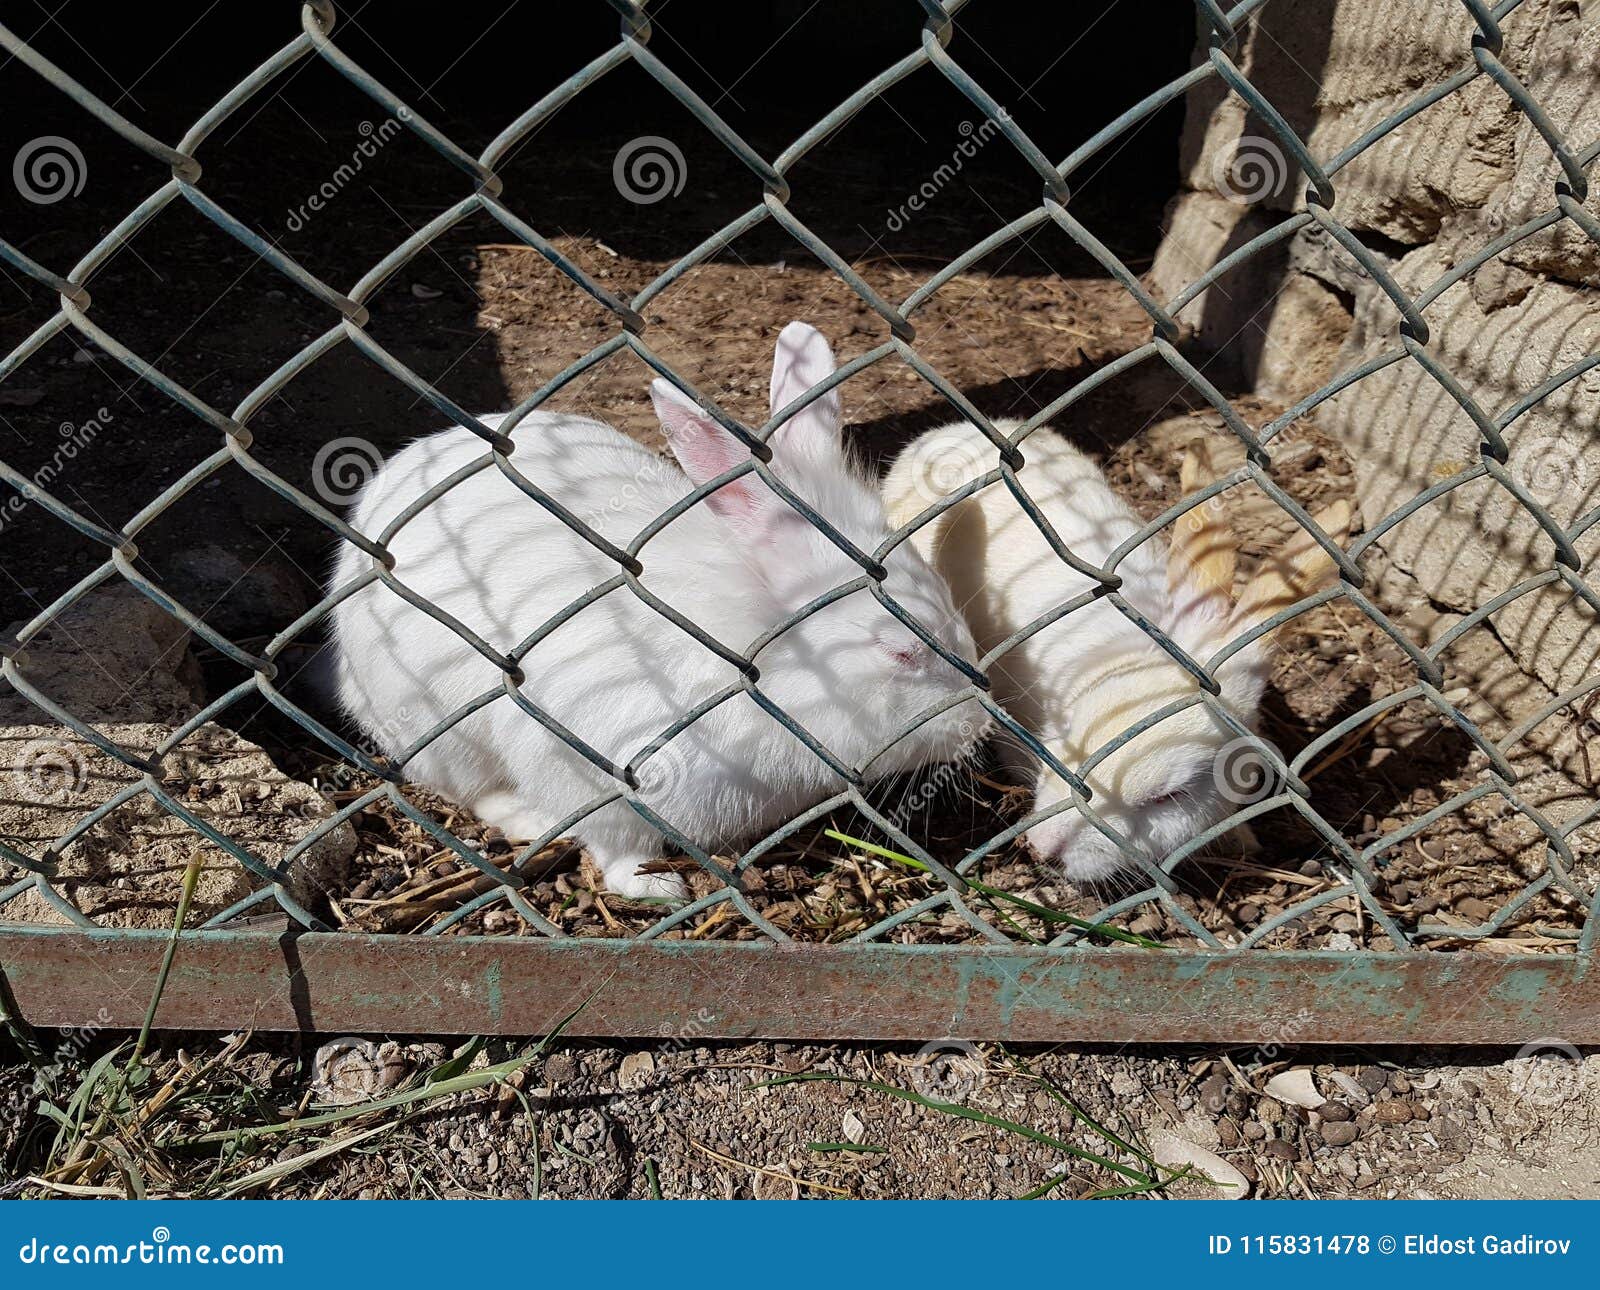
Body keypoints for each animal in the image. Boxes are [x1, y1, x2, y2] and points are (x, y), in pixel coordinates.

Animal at [329, 322, 982, 901]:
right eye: (899, 651)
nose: (976, 727)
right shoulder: (604, 779)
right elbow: (620, 852)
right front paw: (659, 889)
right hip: (438, 729)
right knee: (466, 788)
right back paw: (525, 818)